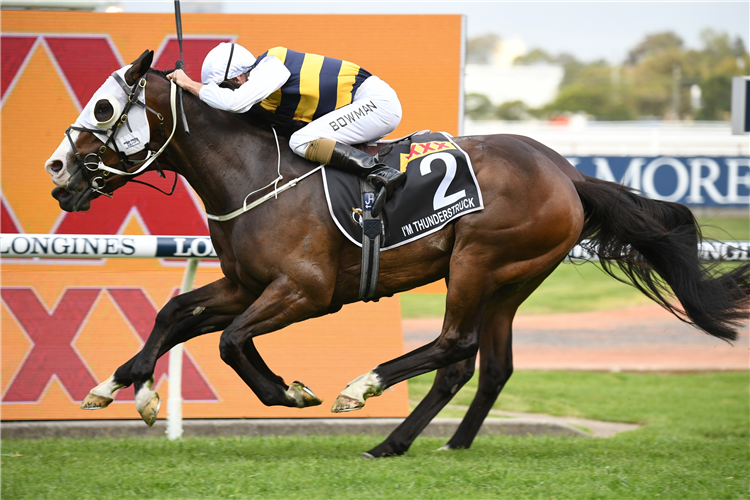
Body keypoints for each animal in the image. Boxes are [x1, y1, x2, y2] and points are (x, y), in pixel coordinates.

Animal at [44, 50, 750, 458]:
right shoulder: (247, 285)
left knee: (456, 345)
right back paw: (429, 443)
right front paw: (123, 387)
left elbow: (230, 341)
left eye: (104, 107)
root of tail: (569, 174)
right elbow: (177, 314)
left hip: (476, 263)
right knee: (483, 364)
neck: (255, 177)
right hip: (510, 281)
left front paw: (289, 391)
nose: (57, 172)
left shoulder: (306, 291)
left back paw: (367, 394)